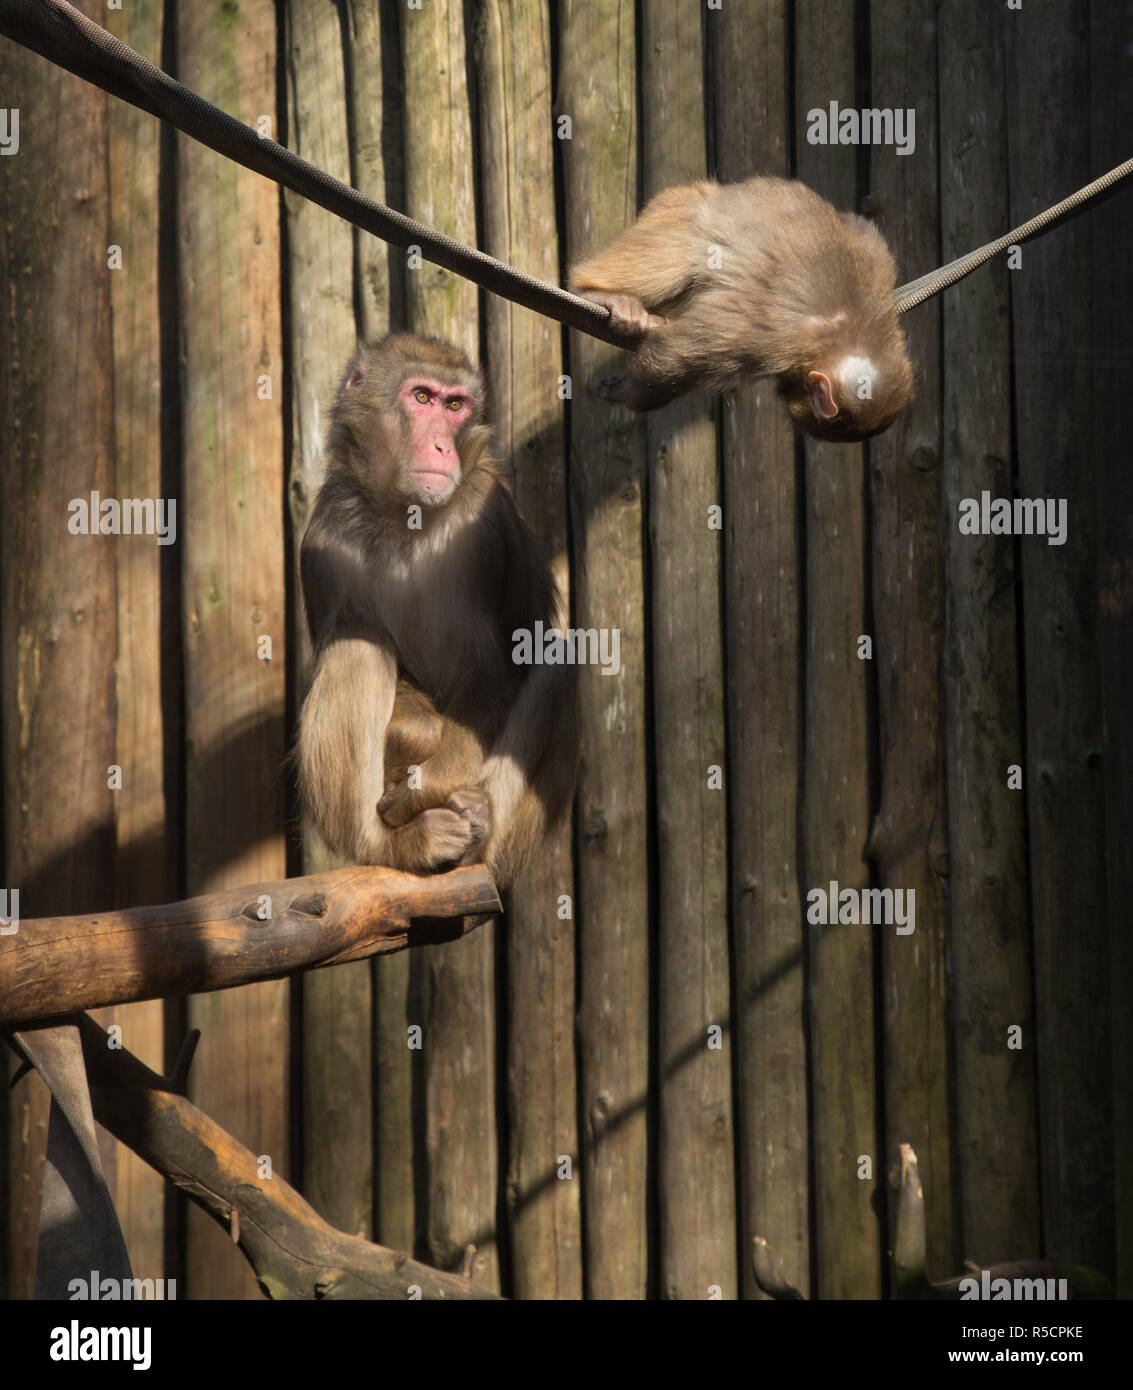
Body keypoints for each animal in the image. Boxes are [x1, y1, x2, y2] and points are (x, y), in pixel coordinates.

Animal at [297, 334, 577, 889]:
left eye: (455, 406)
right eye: (422, 397)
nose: (443, 447)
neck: (405, 514)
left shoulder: (487, 520)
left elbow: (503, 670)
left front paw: (418, 790)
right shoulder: (323, 538)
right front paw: (415, 742)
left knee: (558, 666)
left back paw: (479, 823)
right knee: (357, 640)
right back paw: (397, 845)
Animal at [569, 176, 914, 440]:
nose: (795, 409)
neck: (856, 330)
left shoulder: (878, 257)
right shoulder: (769, 336)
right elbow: (678, 354)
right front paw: (629, 393)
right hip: (674, 213)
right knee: (682, 249)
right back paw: (595, 291)